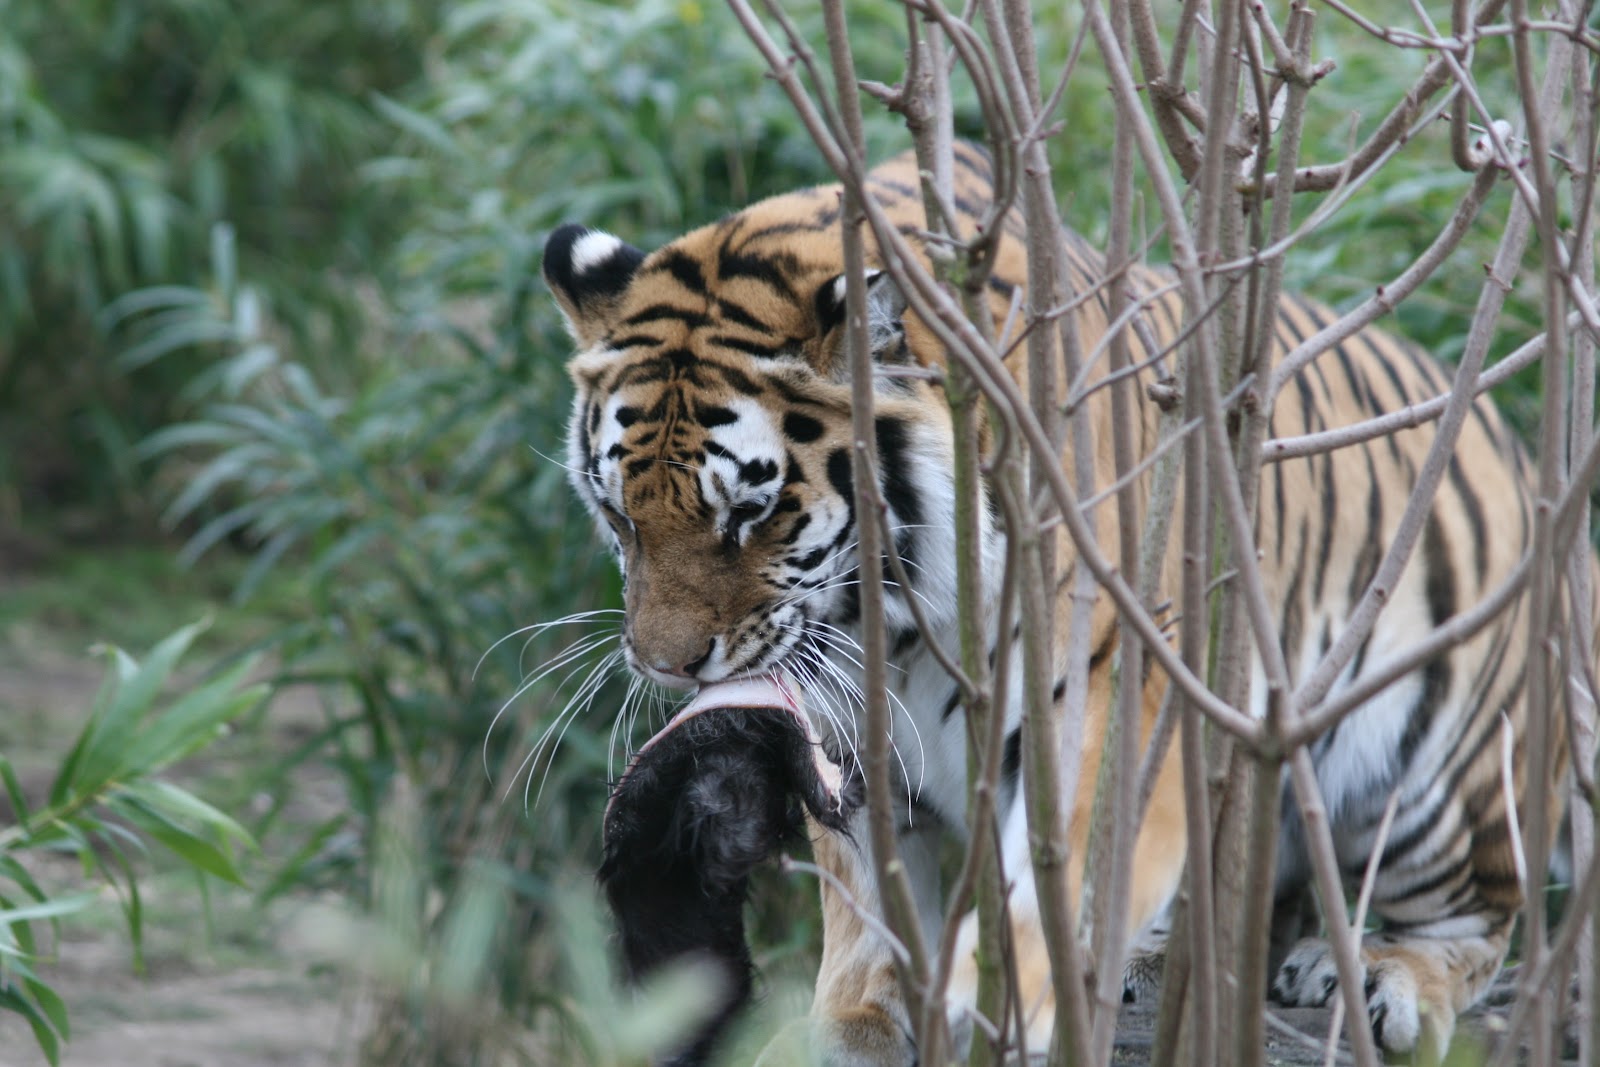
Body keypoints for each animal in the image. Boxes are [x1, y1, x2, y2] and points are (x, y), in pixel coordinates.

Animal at [542, 142, 1582, 1065]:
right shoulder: (846, 725)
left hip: (1435, 761)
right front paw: (858, 1019)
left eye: (749, 516)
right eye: (620, 515)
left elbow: (1066, 865)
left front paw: (999, 997)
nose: (664, 665)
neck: (897, 621)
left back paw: (1374, 971)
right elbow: (866, 886)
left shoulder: (1111, 682)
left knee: (1484, 917)